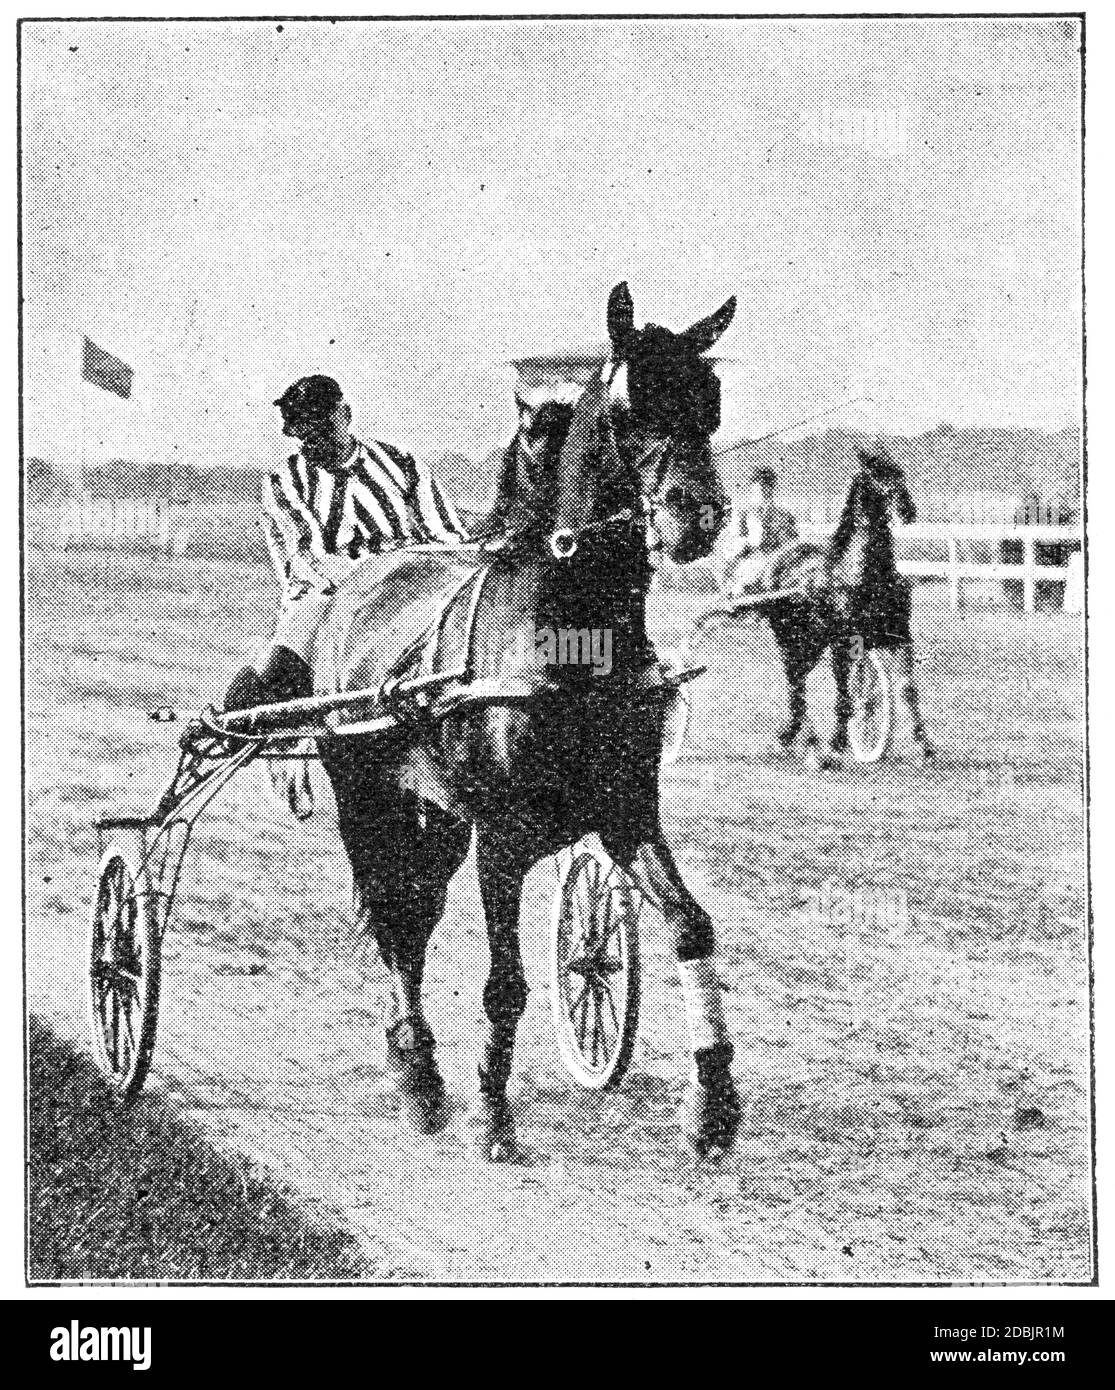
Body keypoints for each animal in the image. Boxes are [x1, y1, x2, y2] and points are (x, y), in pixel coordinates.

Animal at [312, 282, 742, 1160]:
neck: (572, 637)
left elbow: (692, 928)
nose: (696, 516)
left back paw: (415, 1067)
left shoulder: (626, 814)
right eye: (628, 404)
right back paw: (419, 1075)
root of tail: (357, 586)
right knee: (395, 919)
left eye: (710, 398)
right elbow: (504, 985)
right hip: (364, 799)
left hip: (436, 816)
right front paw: (494, 1114)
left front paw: (712, 1104)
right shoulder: (502, 838)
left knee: (414, 917)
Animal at [720, 447, 935, 768]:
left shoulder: (898, 636)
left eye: (898, 470)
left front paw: (924, 746)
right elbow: (845, 695)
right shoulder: (842, 642)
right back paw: (807, 741)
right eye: (876, 473)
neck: (865, 576)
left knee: (800, 679)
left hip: (813, 642)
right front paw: (836, 744)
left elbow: (905, 689)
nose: (907, 509)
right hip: (792, 638)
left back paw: (791, 733)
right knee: (796, 680)